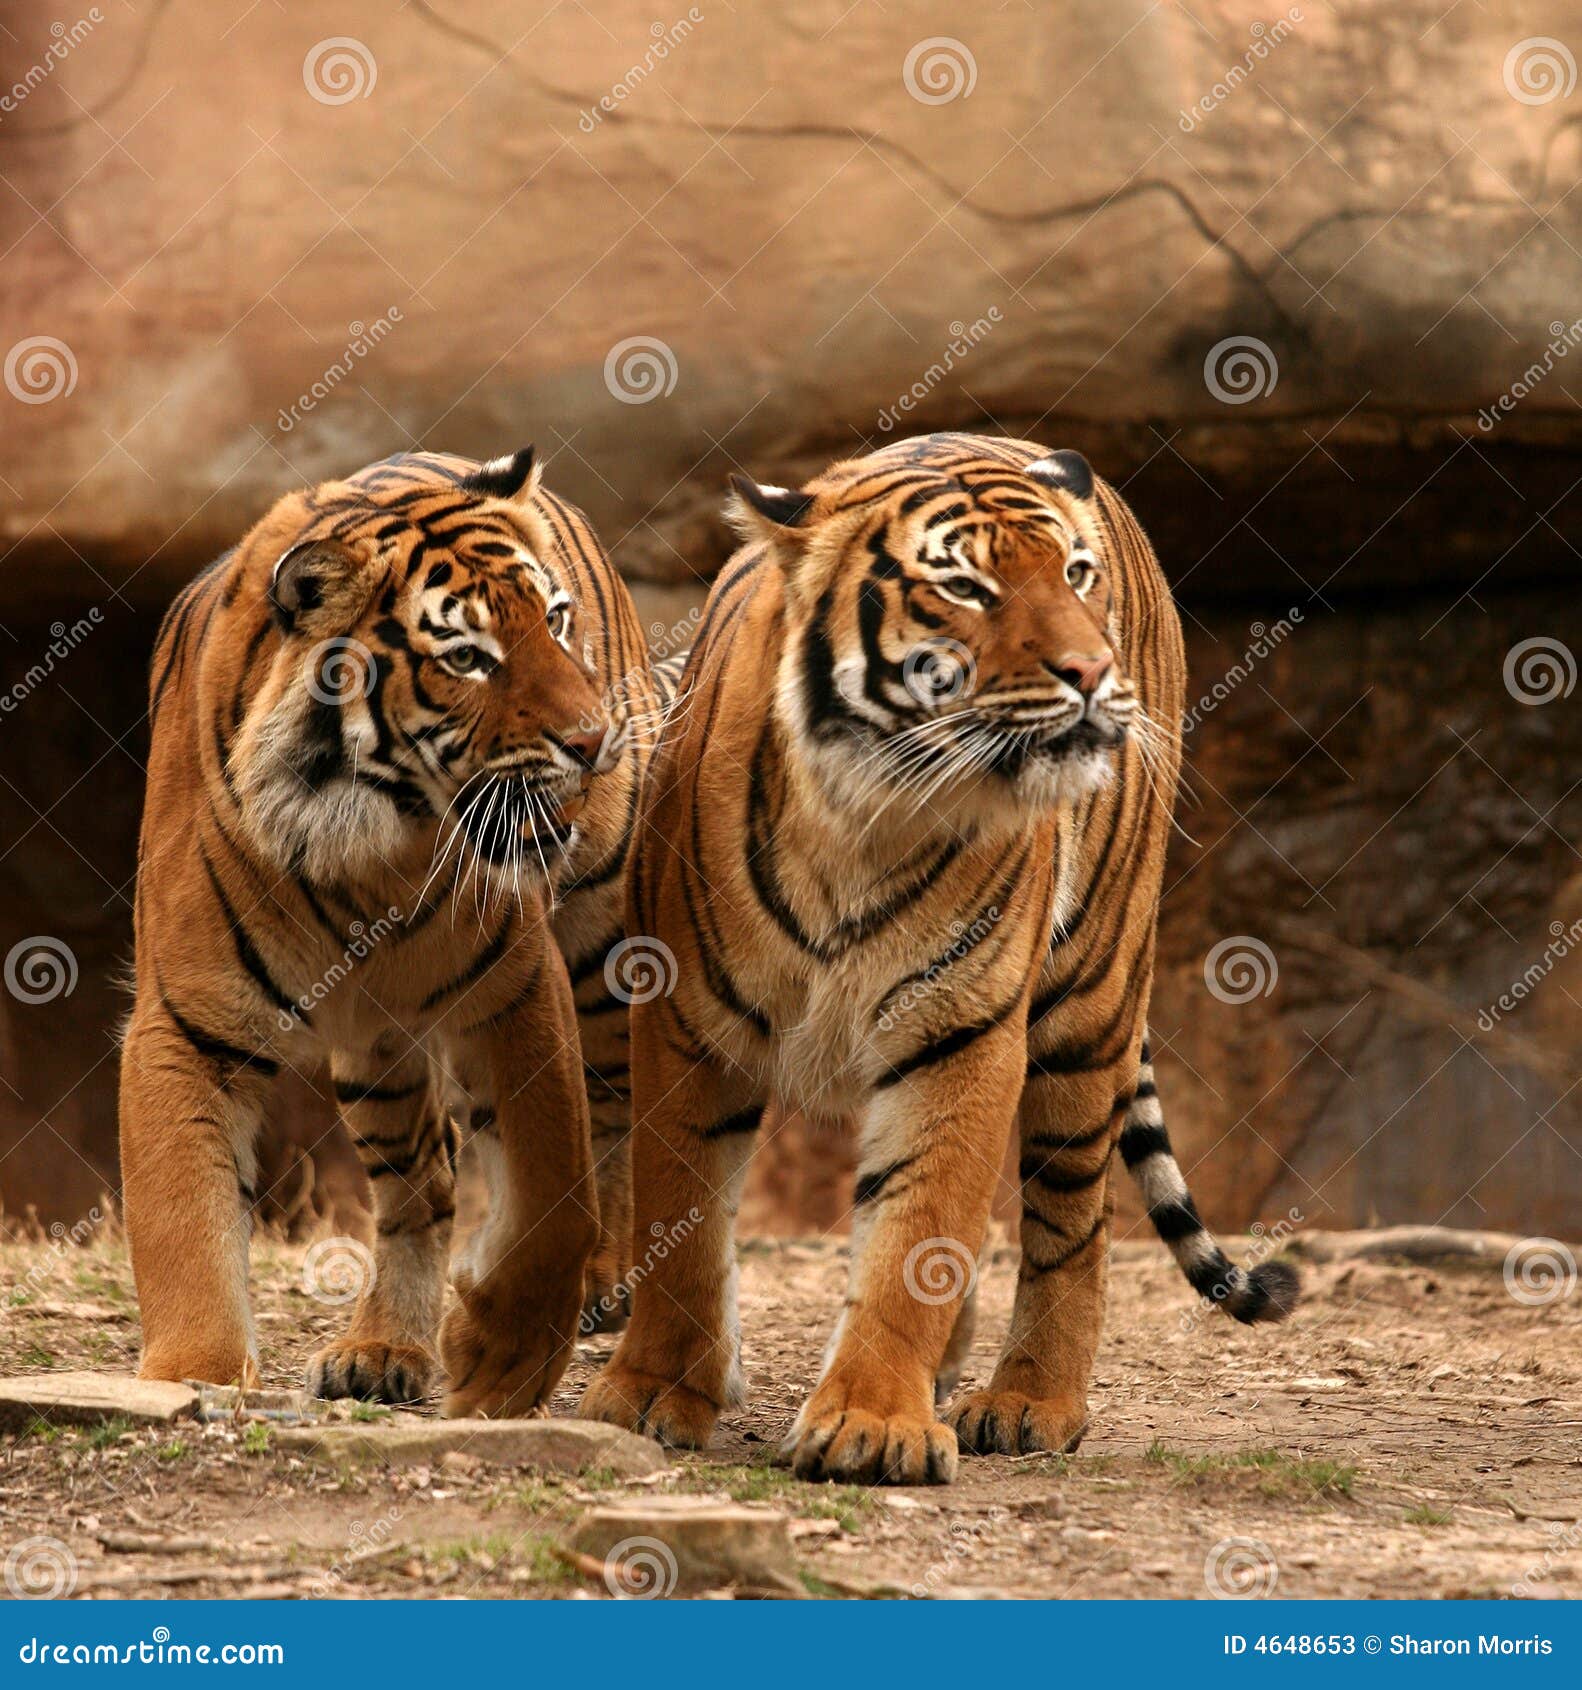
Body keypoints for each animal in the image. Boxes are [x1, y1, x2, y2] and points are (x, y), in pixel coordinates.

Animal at [120, 446, 661, 1414]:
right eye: (468, 658)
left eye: (555, 622)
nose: (594, 742)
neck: (368, 845)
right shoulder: (184, 1025)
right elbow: (179, 1221)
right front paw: (192, 1377)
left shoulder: (516, 991)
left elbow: (553, 1198)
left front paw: (504, 1361)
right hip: (375, 1054)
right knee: (425, 1183)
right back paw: (383, 1349)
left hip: (603, 938)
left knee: (611, 1104)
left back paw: (605, 1279)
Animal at [580, 431, 1298, 1482]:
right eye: (965, 587)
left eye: (1073, 575)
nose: (1092, 671)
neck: (860, 814)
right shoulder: (687, 1024)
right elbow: (682, 1224)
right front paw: (650, 1394)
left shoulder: (960, 1029)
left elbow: (919, 1232)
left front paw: (874, 1422)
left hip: (1089, 1002)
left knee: (1072, 1221)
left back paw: (1032, 1400)